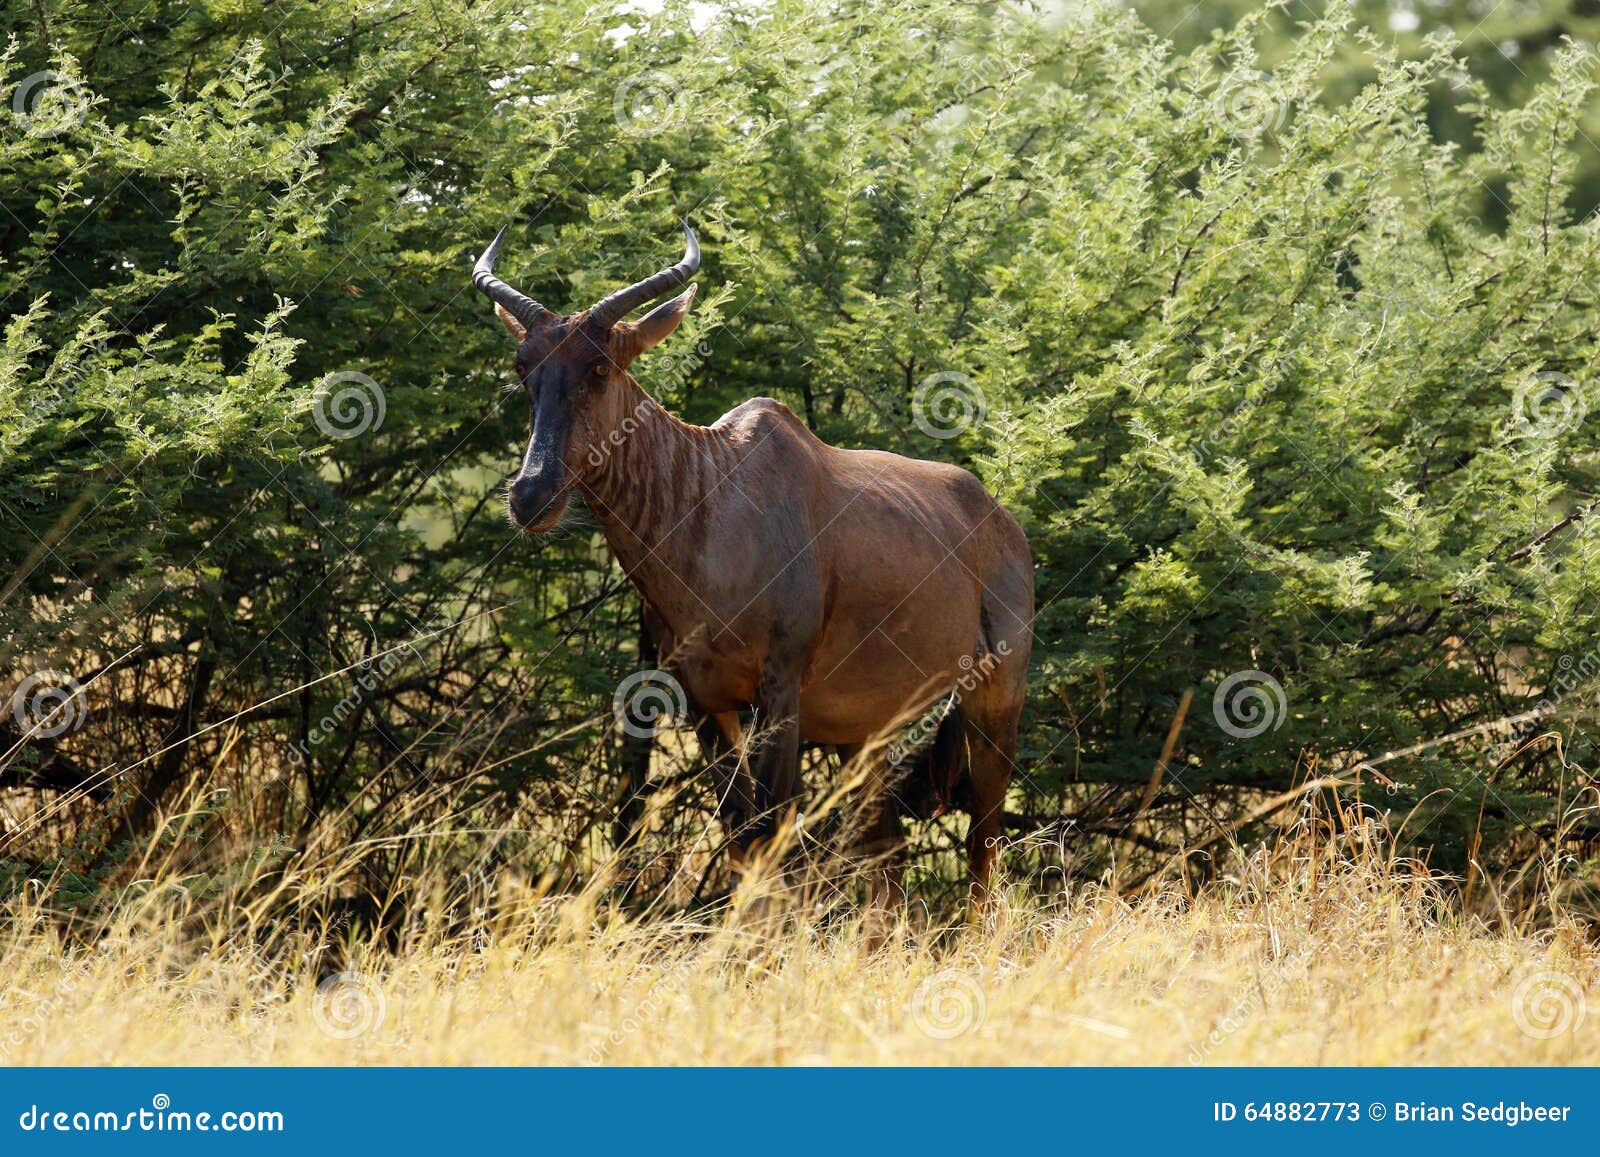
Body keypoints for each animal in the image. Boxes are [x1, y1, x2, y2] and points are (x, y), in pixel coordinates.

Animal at [472, 223, 1033, 918]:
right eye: (524, 367)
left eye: (600, 366)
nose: (530, 497)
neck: (713, 493)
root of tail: (999, 520)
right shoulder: (706, 704)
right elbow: (742, 838)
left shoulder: (780, 691)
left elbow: (771, 831)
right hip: (863, 731)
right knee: (889, 849)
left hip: (996, 700)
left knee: (984, 839)